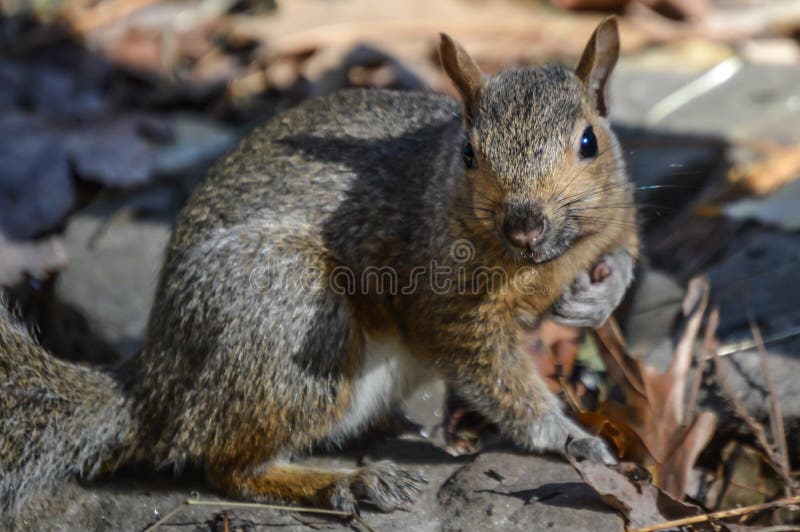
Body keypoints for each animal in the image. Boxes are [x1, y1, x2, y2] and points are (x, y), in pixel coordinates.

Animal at [0, 17, 637, 519]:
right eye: (469, 154)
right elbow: (497, 379)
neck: (541, 261)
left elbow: (624, 250)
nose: (525, 225)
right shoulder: (448, 305)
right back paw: (347, 482)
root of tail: (154, 386)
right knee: (227, 465)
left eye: (590, 142)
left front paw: (596, 298)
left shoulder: (617, 215)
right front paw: (568, 436)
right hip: (289, 314)